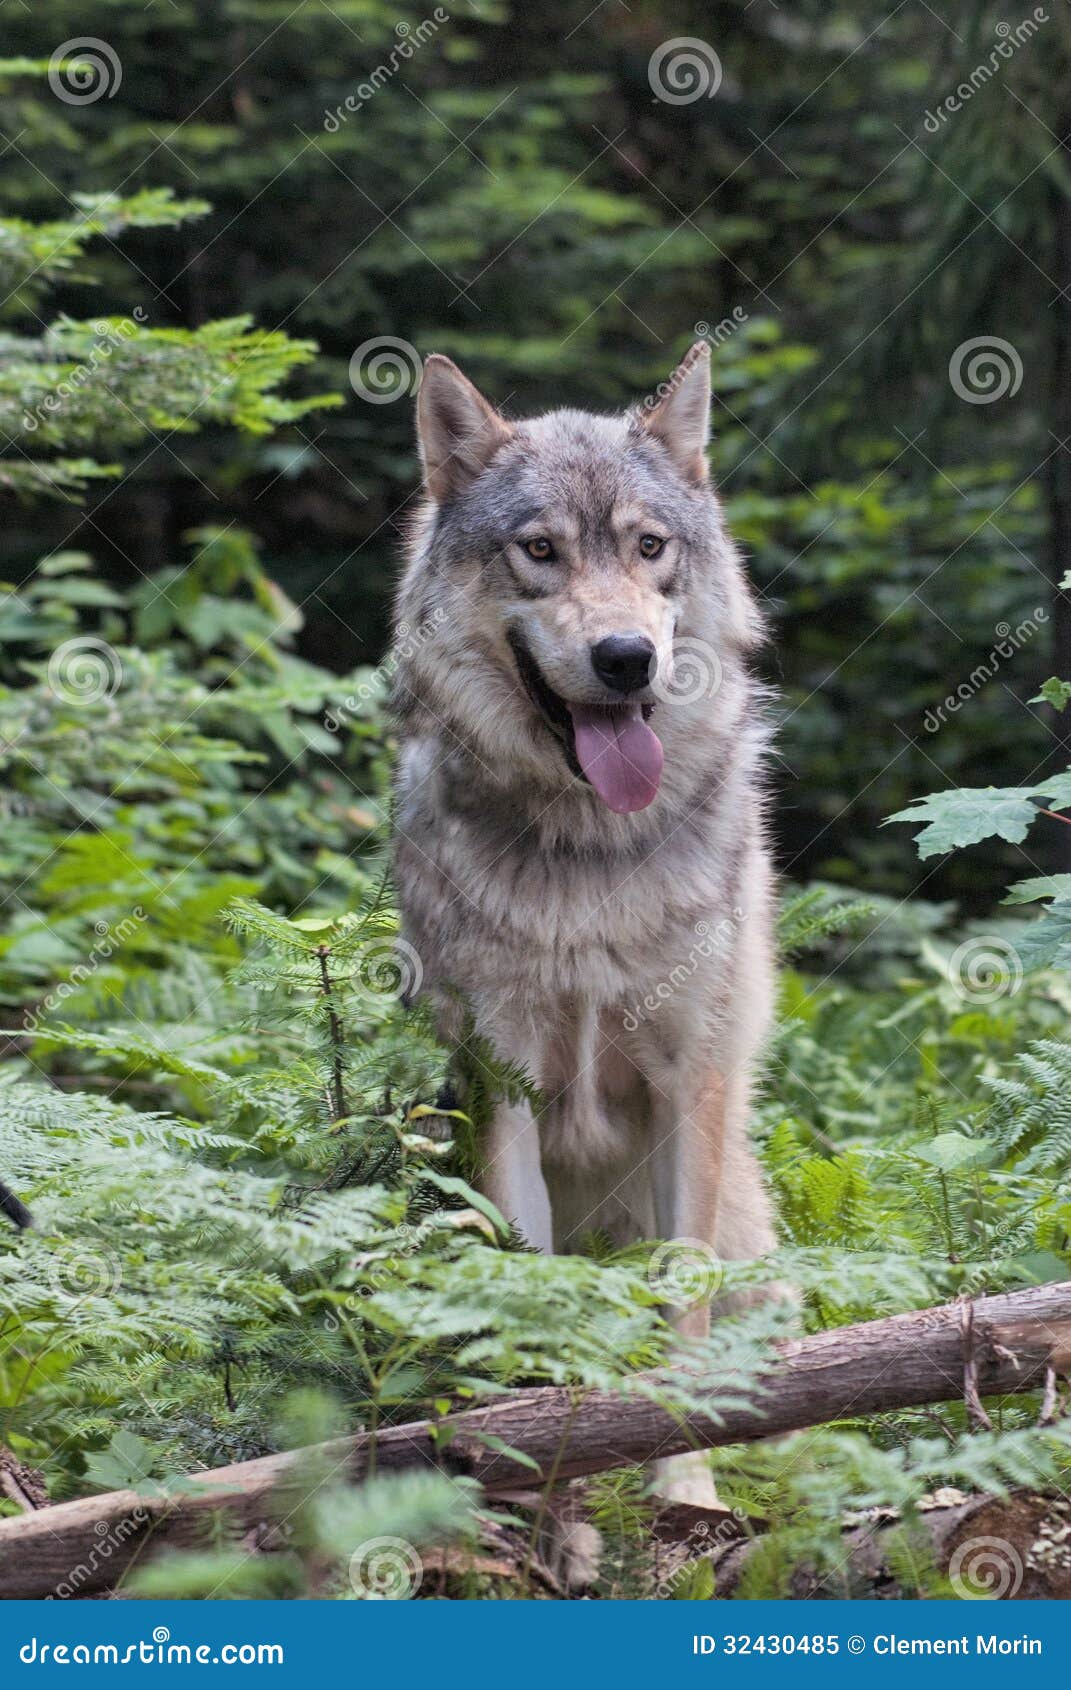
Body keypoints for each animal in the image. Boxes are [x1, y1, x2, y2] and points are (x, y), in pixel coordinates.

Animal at [391, 342, 778, 1569]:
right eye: (541, 549)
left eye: (649, 548)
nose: (623, 658)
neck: (589, 857)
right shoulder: (502, 1086)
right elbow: (531, 1296)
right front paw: (542, 1494)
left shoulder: (688, 1087)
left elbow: (679, 1314)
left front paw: (686, 1491)